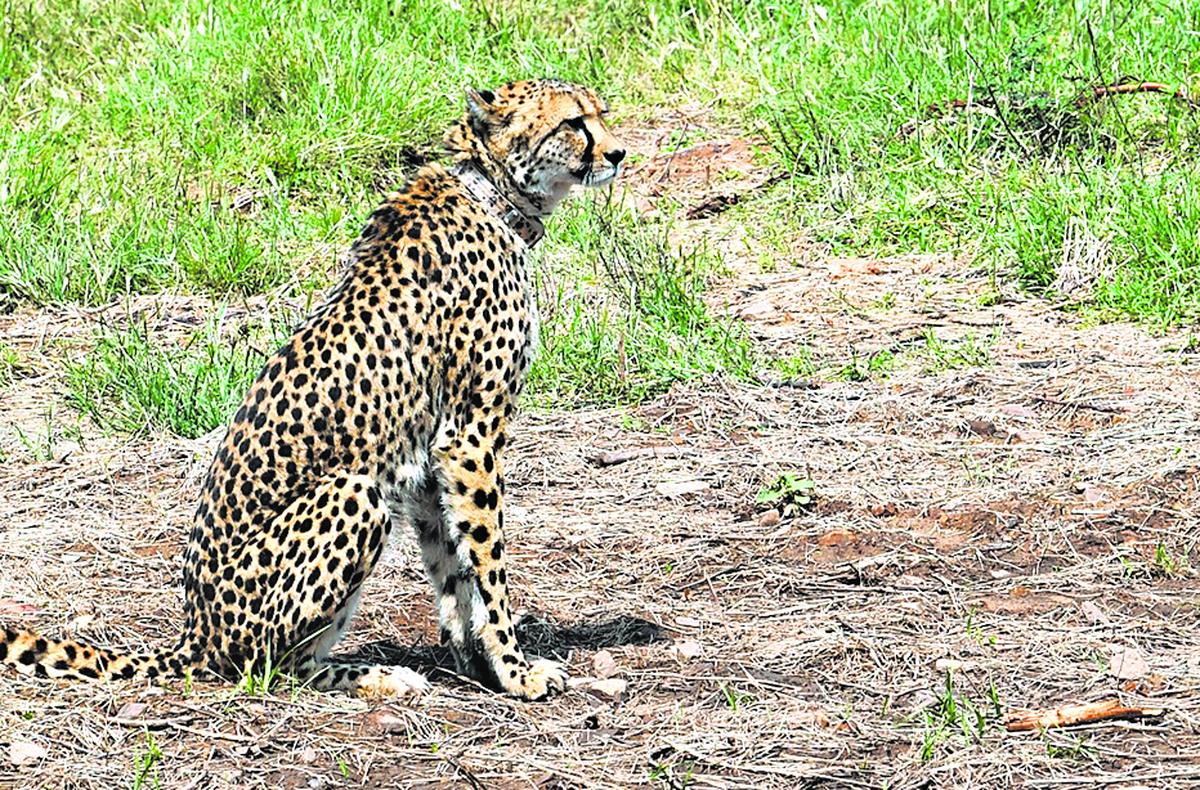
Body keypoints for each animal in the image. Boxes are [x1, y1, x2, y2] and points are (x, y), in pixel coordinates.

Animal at [0, 78, 626, 700]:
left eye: (600, 113)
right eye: (573, 123)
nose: (618, 154)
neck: (493, 195)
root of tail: (194, 635)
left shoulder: (428, 459)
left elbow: (452, 568)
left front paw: (474, 664)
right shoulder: (467, 437)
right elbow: (489, 565)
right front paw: (516, 671)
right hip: (355, 496)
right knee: (269, 667)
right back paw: (375, 676)